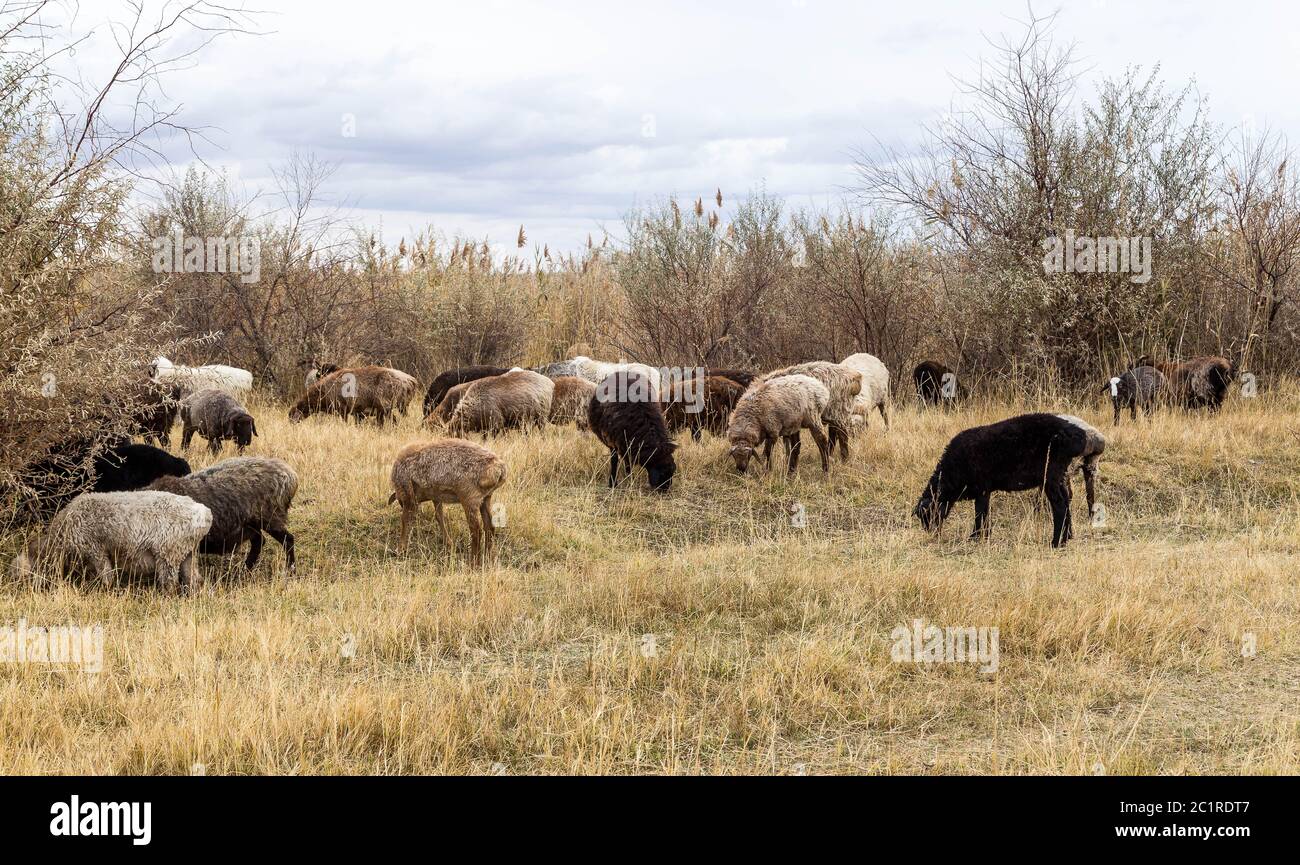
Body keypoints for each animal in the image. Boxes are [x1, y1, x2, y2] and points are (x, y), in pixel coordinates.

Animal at [11, 491, 212, 593]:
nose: (20, 591)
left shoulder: (95, 550)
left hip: (168, 553)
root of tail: (203, 513)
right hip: (187, 553)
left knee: (170, 584)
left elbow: (107, 577)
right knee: (195, 580)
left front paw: (107, 591)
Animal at [147, 457, 298, 572]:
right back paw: (245, 569)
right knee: (259, 541)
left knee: (288, 540)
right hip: (251, 524)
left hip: (270, 518)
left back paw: (290, 569)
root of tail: (289, 475)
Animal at [289, 365, 419, 425]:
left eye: (292, 416)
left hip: (389, 407)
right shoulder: (358, 414)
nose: (291, 424)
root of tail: (412, 381)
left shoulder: (343, 410)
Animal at [913, 413, 1106, 548]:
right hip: (1067, 474)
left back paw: (1056, 542)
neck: (951, 475)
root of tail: (1085, 437)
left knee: (1060, 506)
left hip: (1051, 476)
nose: (932, 533)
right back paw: (1067, 536)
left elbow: (980, 513)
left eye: (927, 514)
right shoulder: (984, 490)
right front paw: (983, 536)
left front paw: (975, 537)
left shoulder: (982, 488)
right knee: (1071, 501)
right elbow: (984, 513)